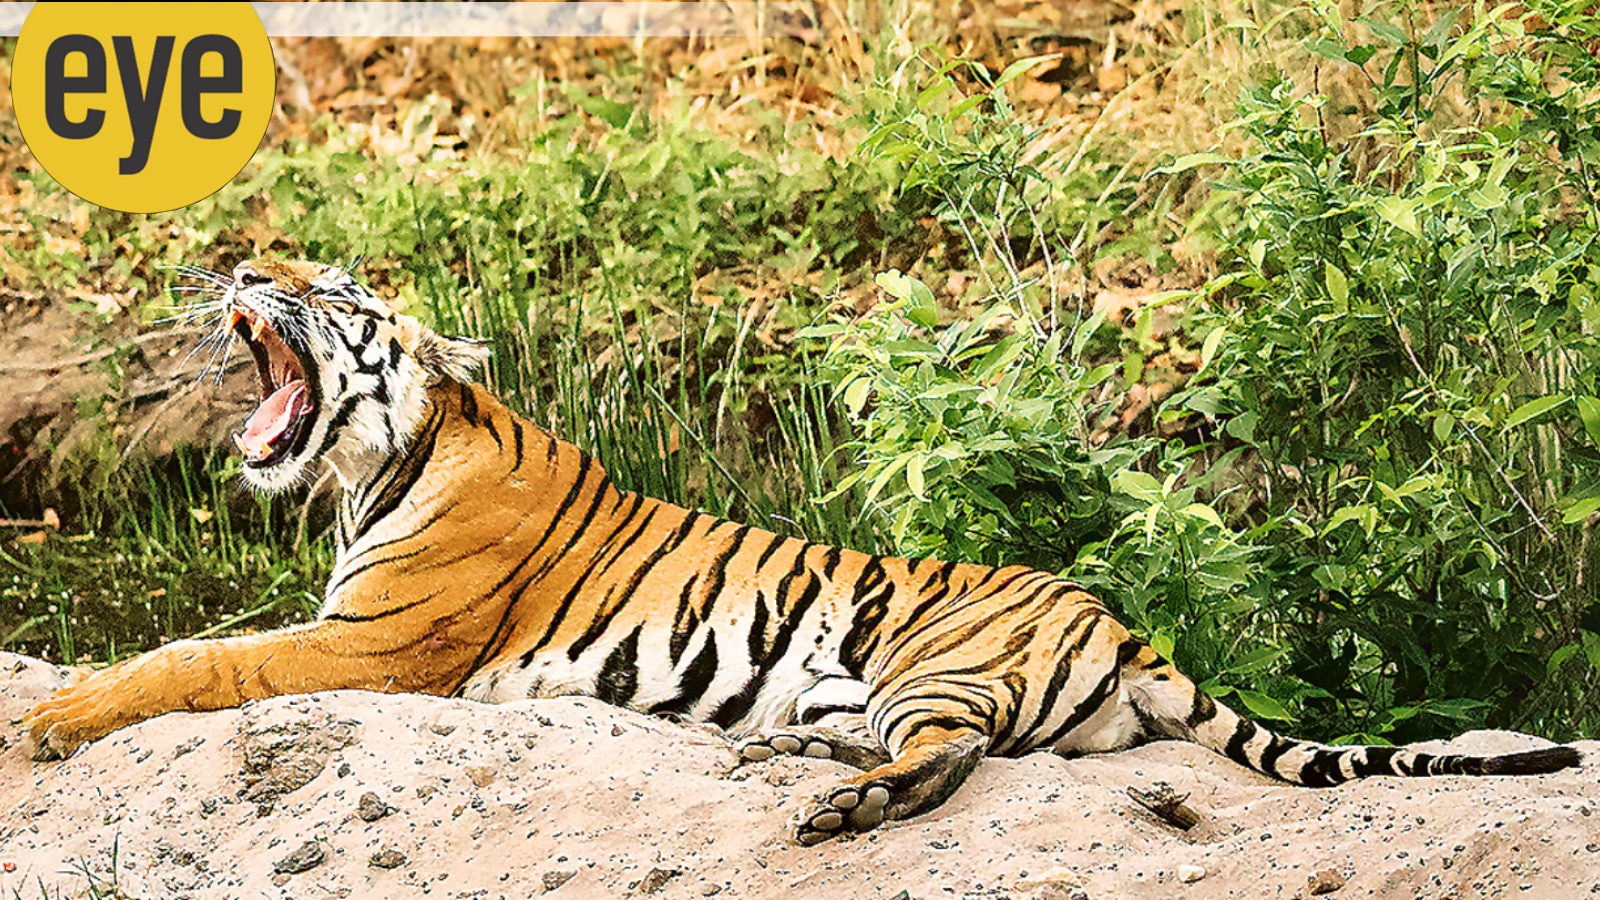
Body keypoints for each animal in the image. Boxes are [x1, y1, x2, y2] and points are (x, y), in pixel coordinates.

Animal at [24, 259, 1582, 845]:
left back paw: (838, 811)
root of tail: (1129, 623)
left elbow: (198, 657)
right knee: (928, 743)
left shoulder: (373, 644)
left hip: (929, 658)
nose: (243, 267)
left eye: (331, 294)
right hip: (869, 678)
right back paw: (794, 757)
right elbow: (195, 641)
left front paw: (57, 715)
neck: (377, 467)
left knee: (954, 759)